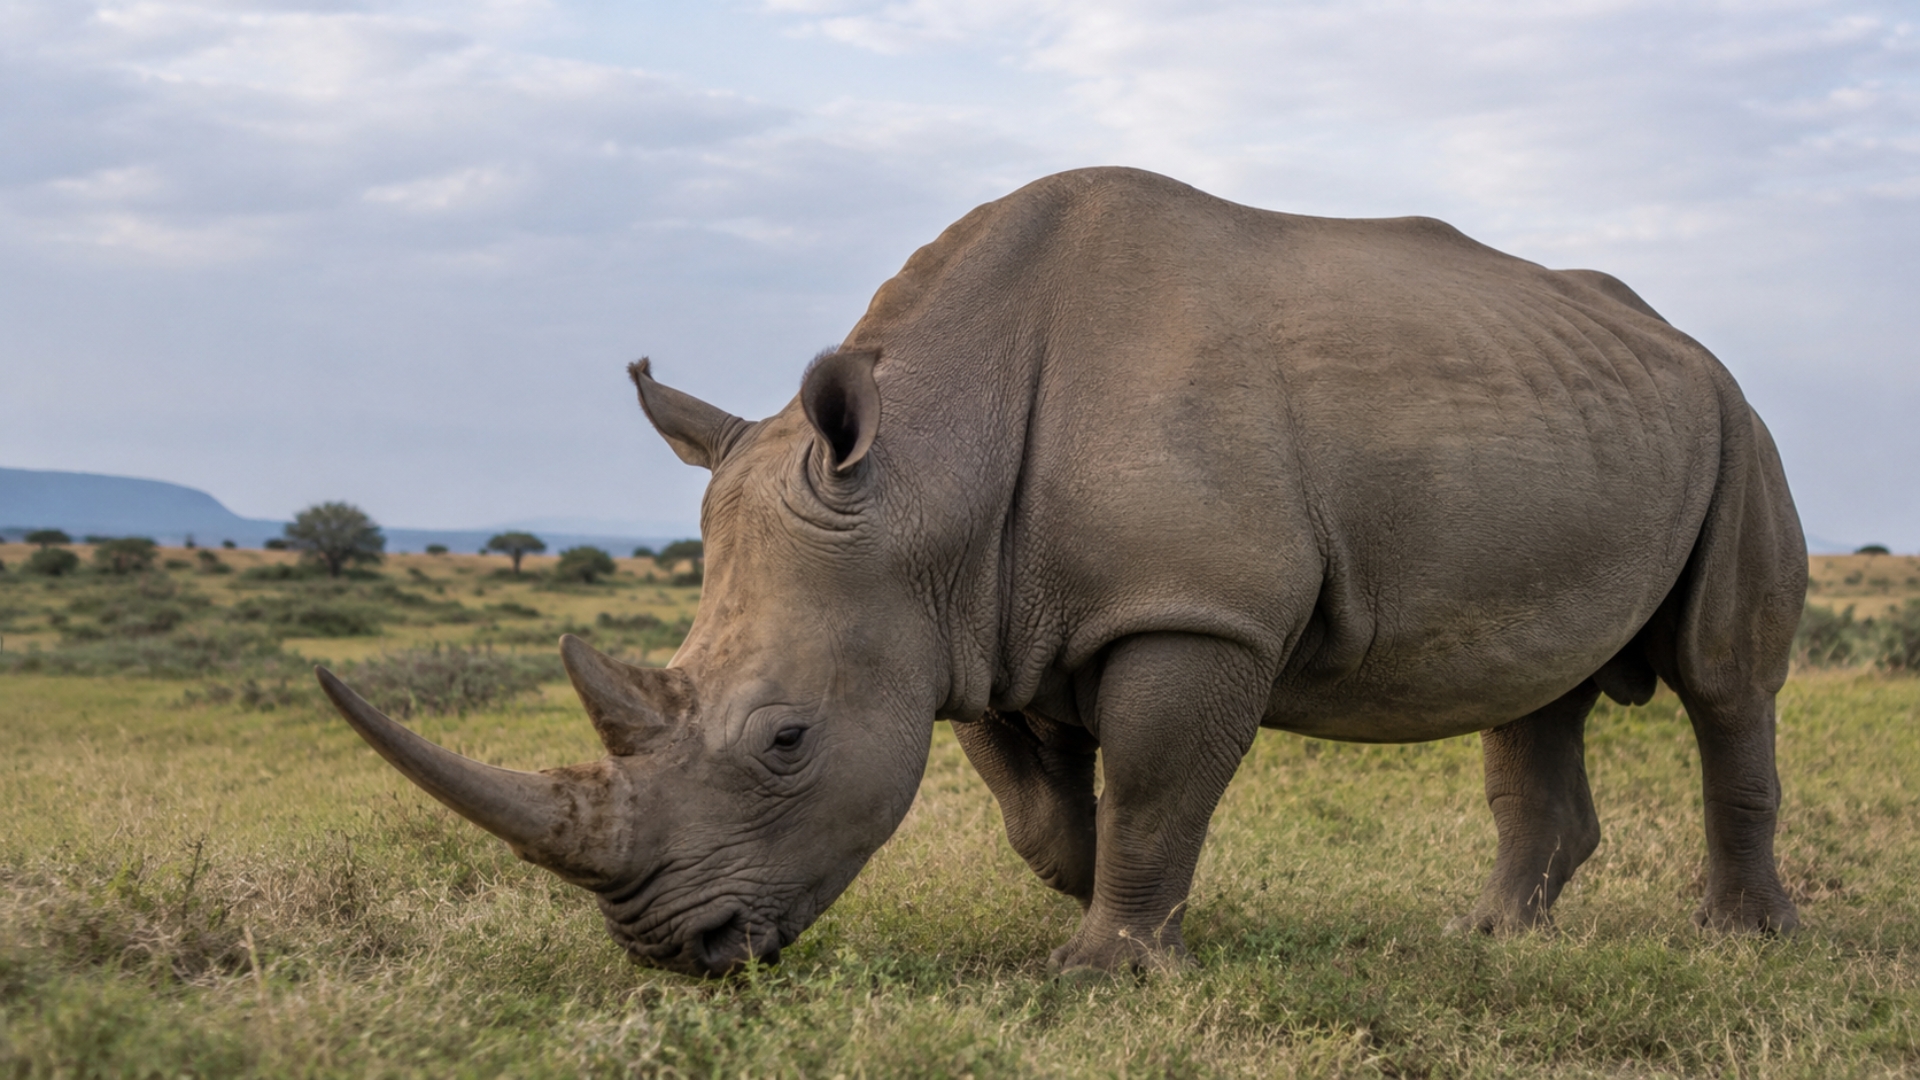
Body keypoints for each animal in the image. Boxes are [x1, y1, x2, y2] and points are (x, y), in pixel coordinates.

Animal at [316, 166, 1804, 977]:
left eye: (786, 740)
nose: (675, 952)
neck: (924, 470)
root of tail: (1682, 341)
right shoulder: (969, 618)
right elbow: (1046, 811)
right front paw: (1134, 915)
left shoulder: (1191, 613)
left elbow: (1154, 785)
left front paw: (1107, 969)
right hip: (1574, 413)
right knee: (1534, 693)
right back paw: (1487, 944)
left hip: (1738, 421)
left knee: (1725, 681)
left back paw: (1739, 944)